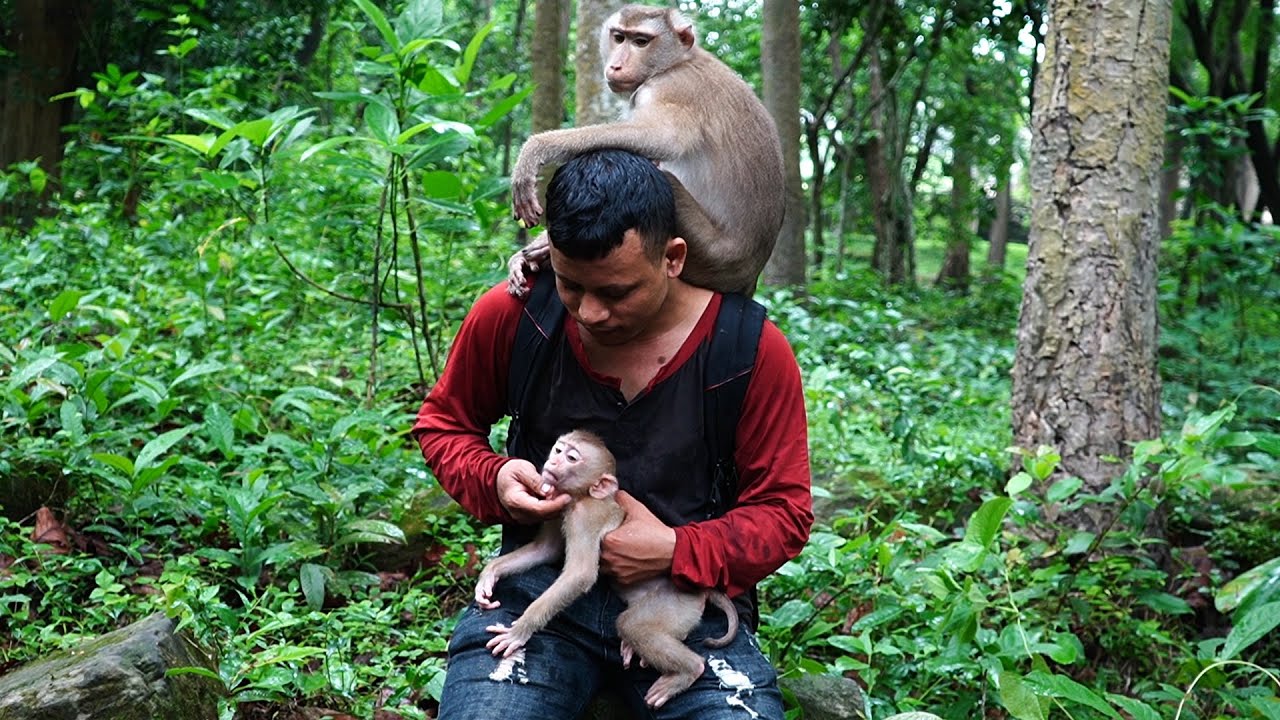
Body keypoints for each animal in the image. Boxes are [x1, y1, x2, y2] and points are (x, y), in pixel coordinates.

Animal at [474, 429, 740, 709]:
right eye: (558, 450)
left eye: (571, 458)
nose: (552, 462)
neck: (584, 496)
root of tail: (703, 590)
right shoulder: (559, 506)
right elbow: (545, 550)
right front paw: (490, 575)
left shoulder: (585, 517)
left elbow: (580, 574)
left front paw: (519, 632)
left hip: (679, 602)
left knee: (633, 625)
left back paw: (688, 670)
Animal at [506, 4, 785, 298]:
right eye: (619, 37)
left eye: (641, 41)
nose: (616, 65)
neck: (676, 62)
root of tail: (750, 275)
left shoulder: (669, 88)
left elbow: (663, 137)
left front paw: (535, 149)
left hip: (710, 254)